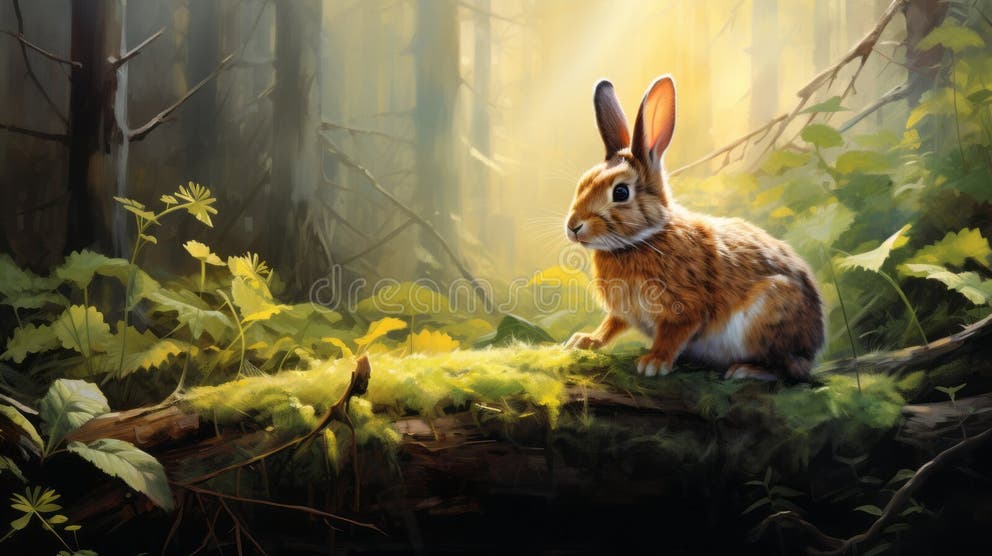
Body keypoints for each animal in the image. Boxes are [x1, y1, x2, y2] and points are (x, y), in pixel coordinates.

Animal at [563, 75, 824, 381]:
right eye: (583, 181)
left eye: (620, 192)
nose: (573, 227)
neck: (643, 239)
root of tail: (813, 349)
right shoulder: (625, 312)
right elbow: (611, 325)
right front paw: (584, 340)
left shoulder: (686, 307)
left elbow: (673, 334)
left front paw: (654, 362)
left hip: (771, 310)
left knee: (787, 371)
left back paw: (746, 370)